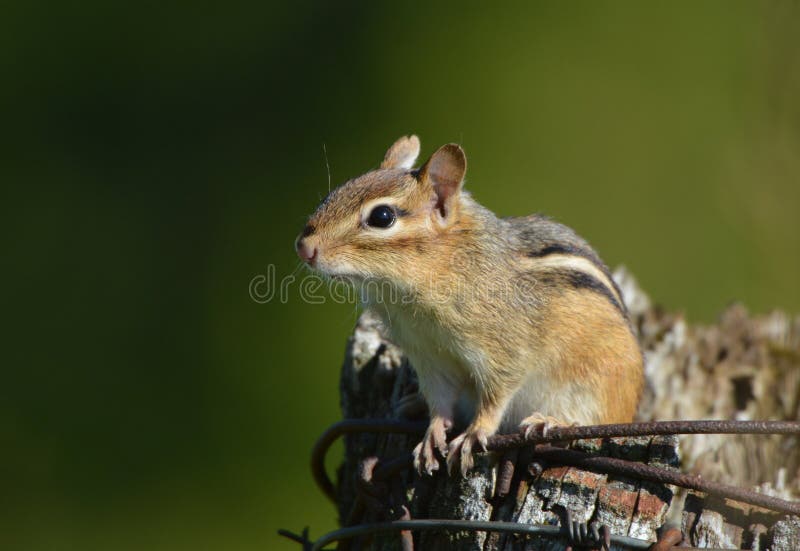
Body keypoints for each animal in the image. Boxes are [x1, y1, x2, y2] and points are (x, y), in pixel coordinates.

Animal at [296, 135, 643, 476]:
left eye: (382, 217)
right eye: (332, 194)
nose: (304, 247)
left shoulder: (504, 350)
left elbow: (496, 395)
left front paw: (474, 434)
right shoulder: (430, 359)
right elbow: (440, 401)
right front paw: (431, 434)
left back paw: (551, 421)